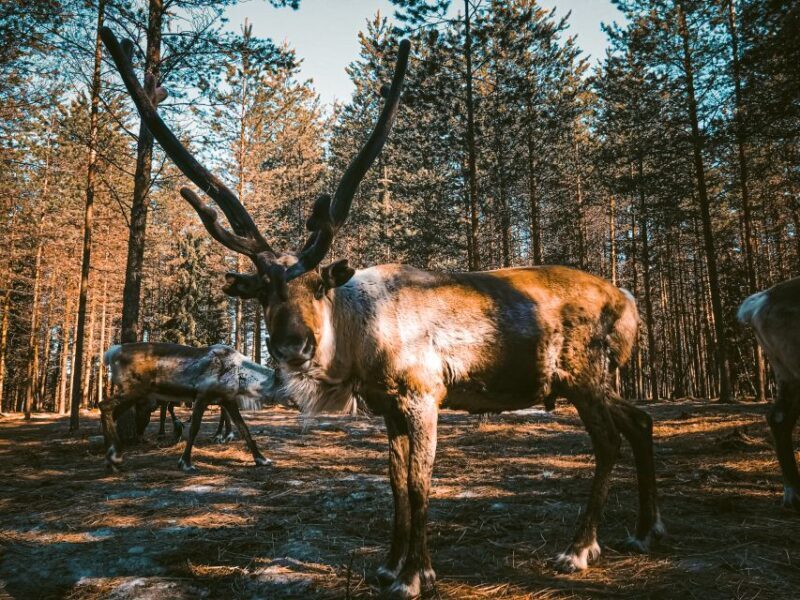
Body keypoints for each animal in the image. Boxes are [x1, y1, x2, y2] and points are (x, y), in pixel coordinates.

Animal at [102, 343, 275, 473]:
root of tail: (111, 353)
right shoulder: (202, 396)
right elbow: (194, 428)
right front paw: (185, 463)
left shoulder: (227, 400)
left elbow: (244, 428)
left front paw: (262, 459)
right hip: (133, 389)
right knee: (104, 405)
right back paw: (115, 455)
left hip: (134, 393)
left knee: (112, 413)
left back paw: (111, 457)